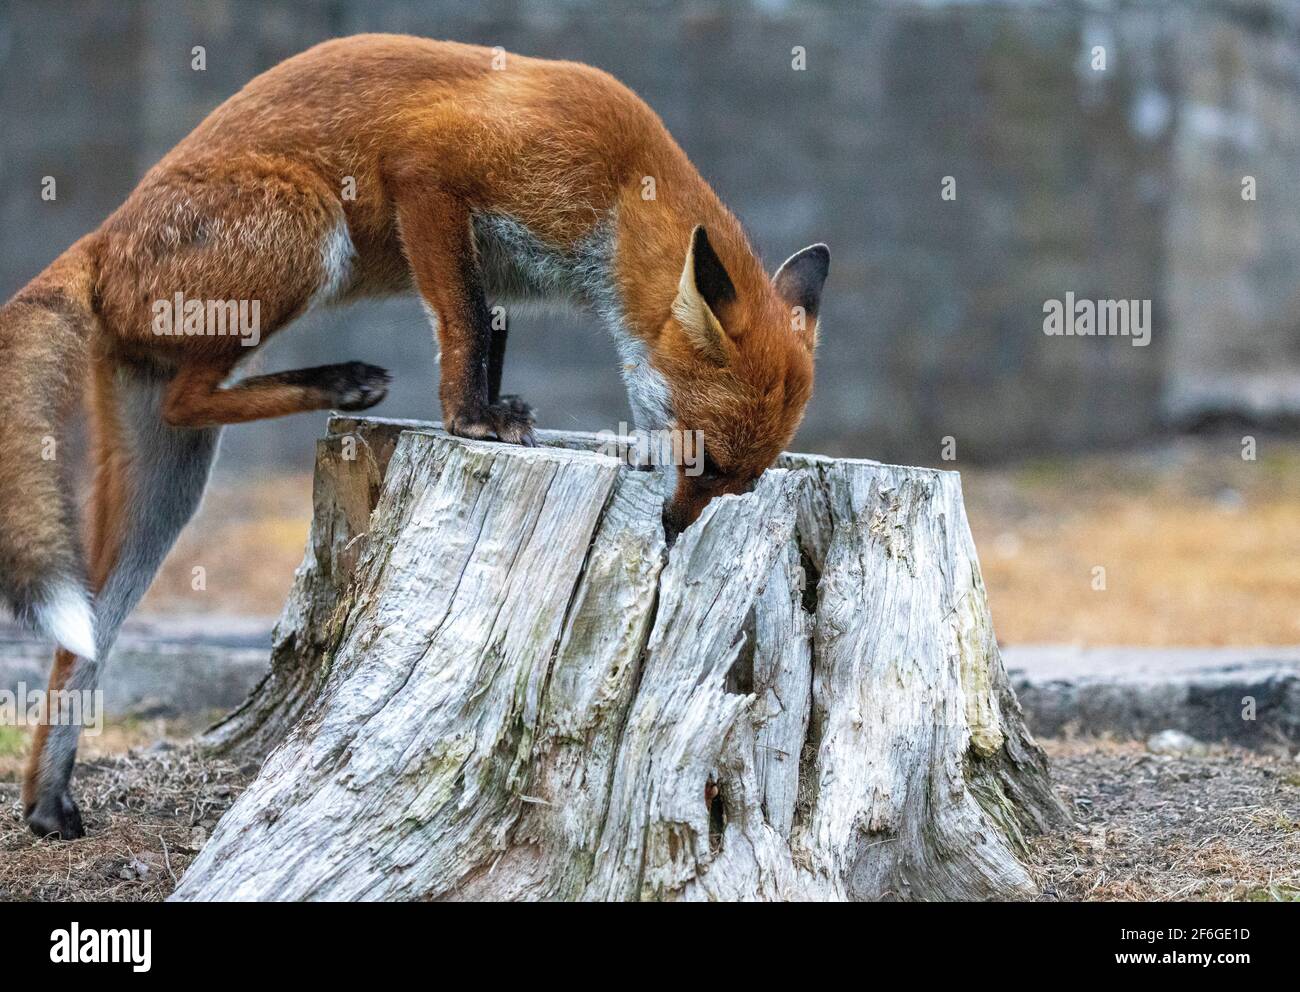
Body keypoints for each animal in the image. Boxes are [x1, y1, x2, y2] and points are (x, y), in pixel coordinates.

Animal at [0, 34, 829, 839]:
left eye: (743, 484)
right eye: (704, 459)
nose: (674, 528)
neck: (623, 188)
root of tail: (102, 239)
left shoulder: (499, 269)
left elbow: (486, 337)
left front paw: (489, 408)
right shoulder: (432, 176)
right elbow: (461, 323)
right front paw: (470, 421)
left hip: (168, 489)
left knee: (89, 629)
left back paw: (47, 799)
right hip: (304, 226)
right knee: (189, 399)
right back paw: (340, 381)